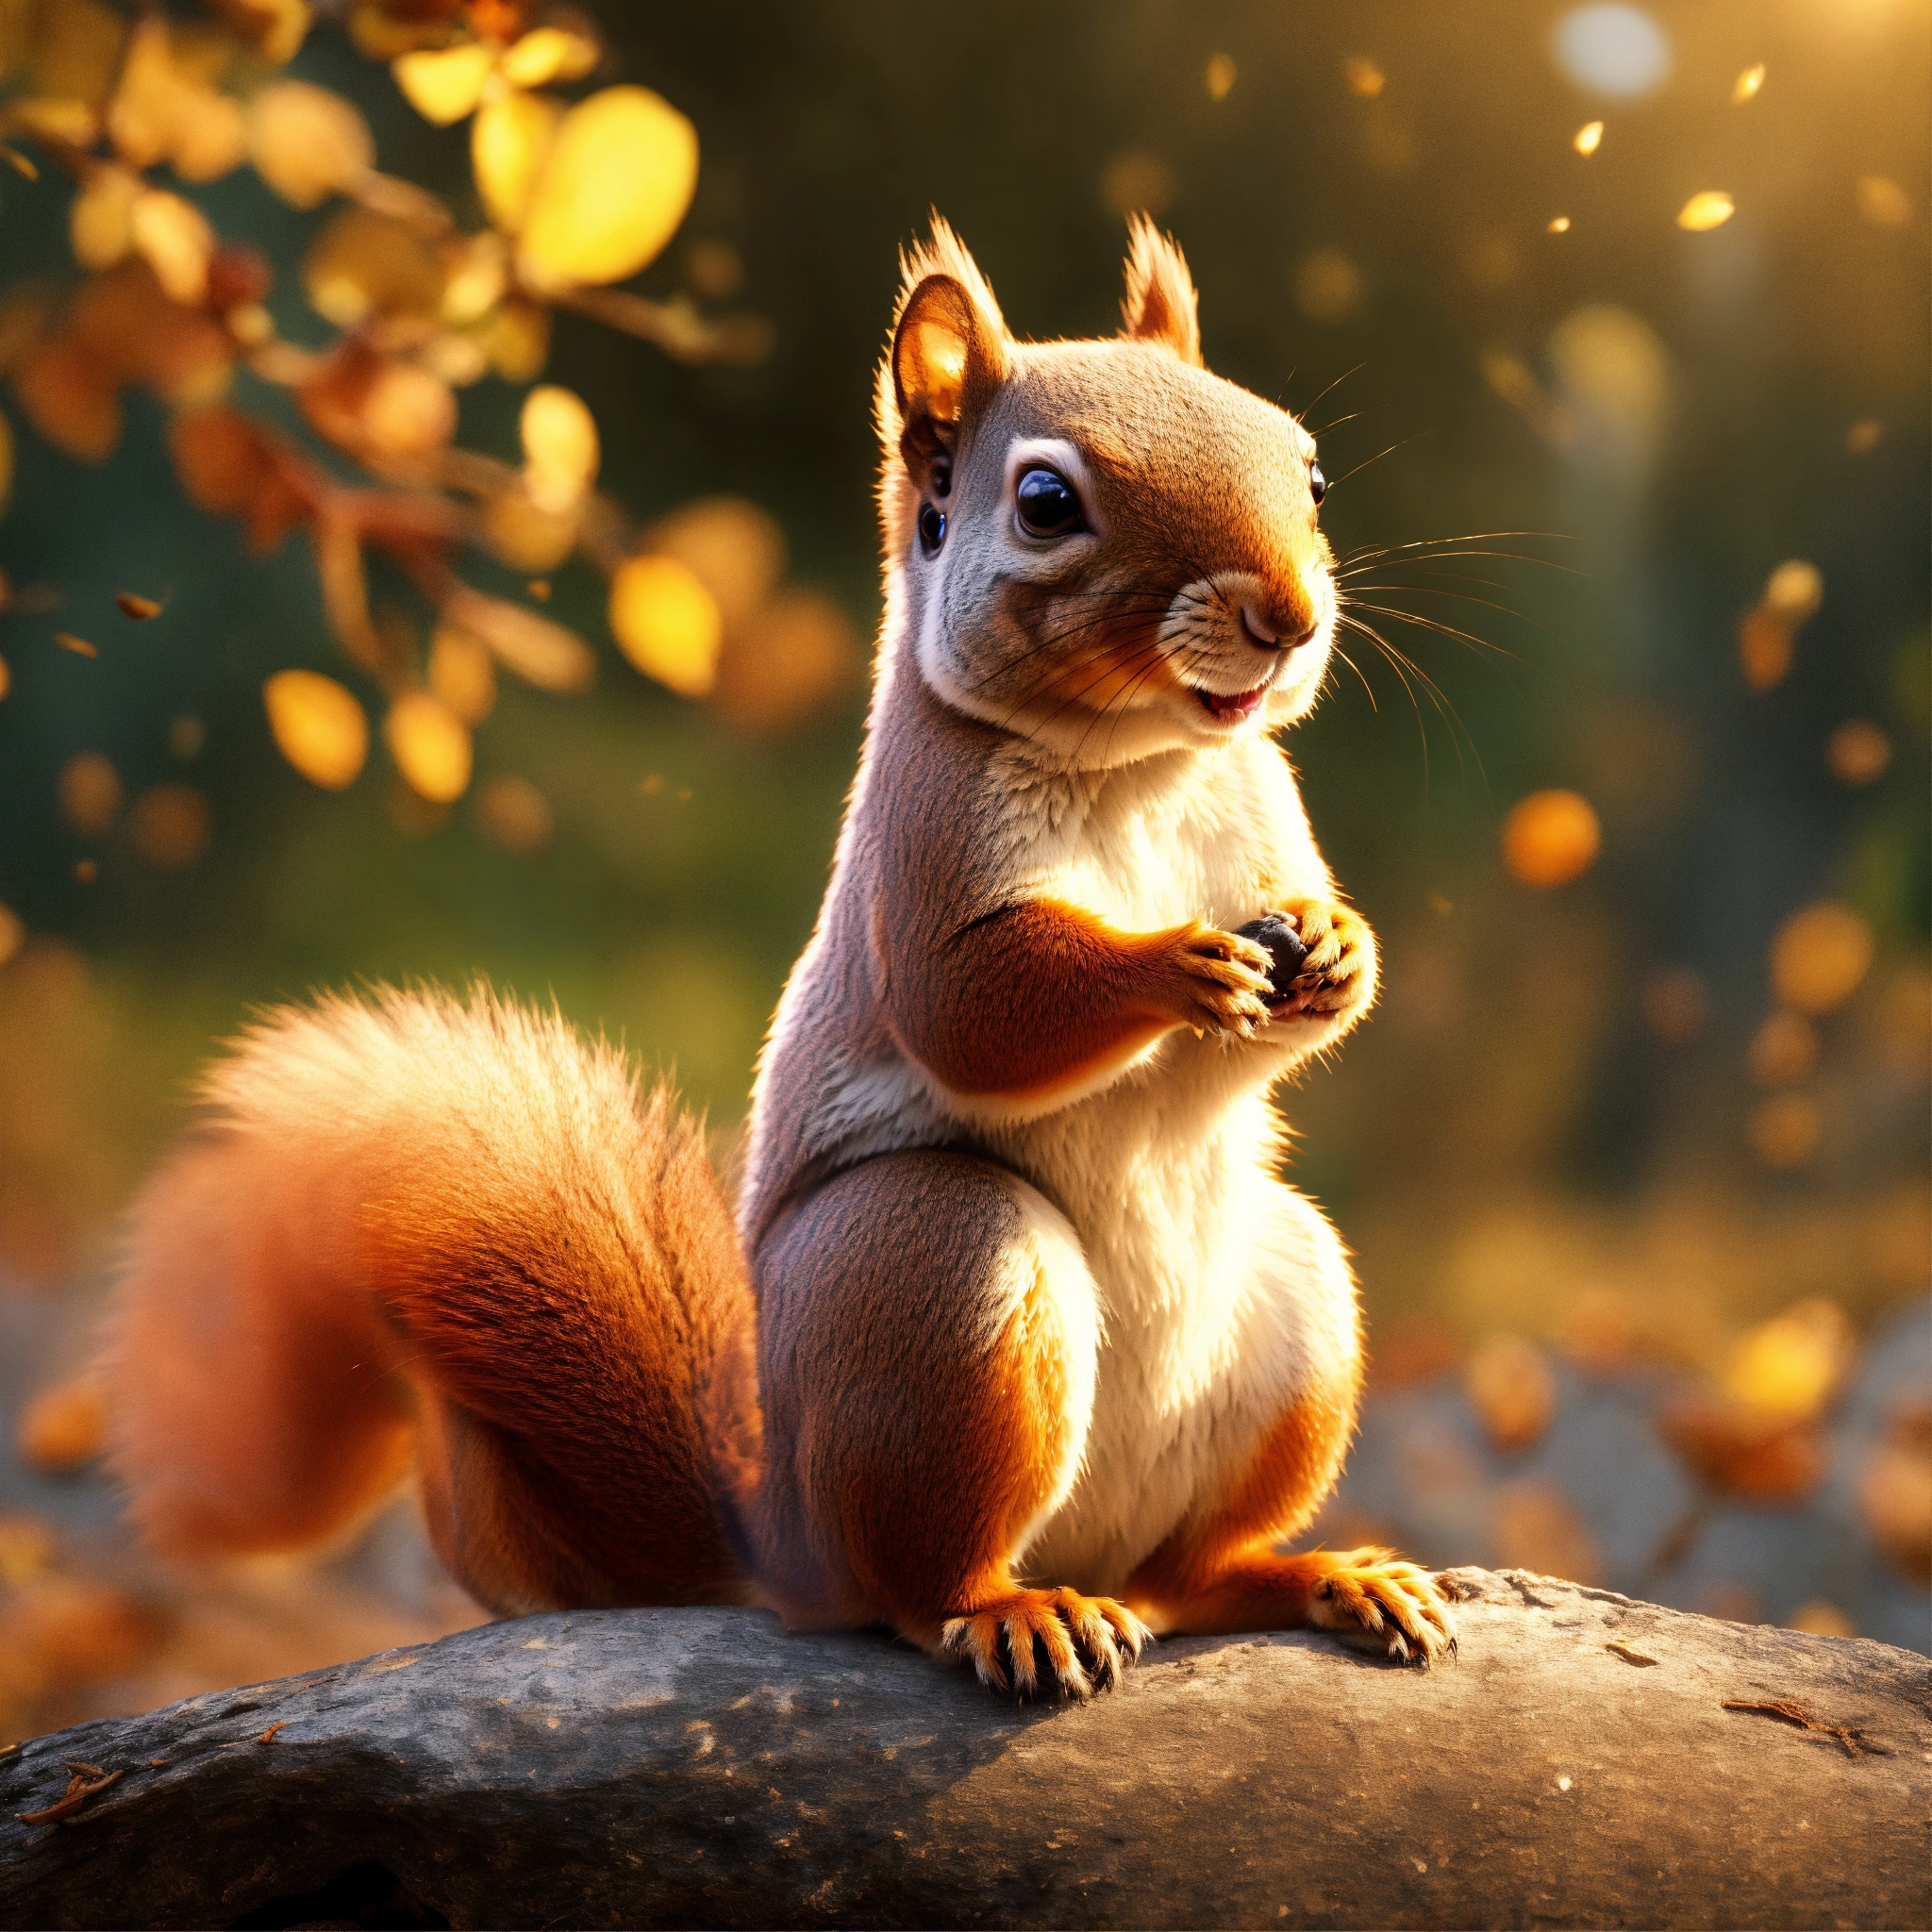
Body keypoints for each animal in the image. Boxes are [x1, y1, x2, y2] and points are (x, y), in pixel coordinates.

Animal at [104, 218, 1455, 1698]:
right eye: (1045, 502)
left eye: (1307, 469)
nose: (1288, 617)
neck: (1146, 765)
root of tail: (780, 1551)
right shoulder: (924, 853)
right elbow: (973, 1008)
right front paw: (1180, 961)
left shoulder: (1266, 810)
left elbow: (1318, 977)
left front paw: (1335, 945)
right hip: (937, 1278)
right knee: (922, 1584)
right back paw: (1012, 1610)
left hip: (1294, 1293)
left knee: (1191, 1576)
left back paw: (1324, 1575)